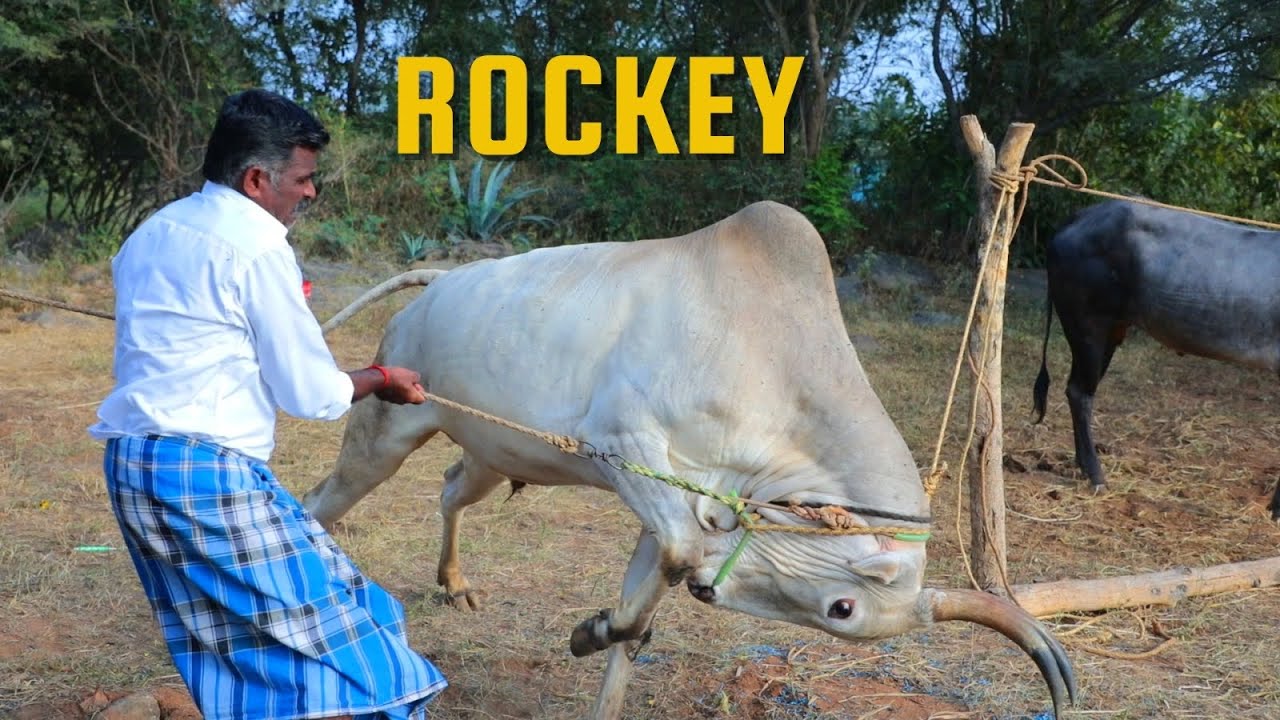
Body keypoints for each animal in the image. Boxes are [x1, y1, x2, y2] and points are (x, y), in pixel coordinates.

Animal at [305, 201, 1075, 718]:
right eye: (843, 607)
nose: (710, 590)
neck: (767, 363)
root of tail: (439, 284)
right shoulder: (624, 446)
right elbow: (673, 558)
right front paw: (594, 630)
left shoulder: (686, 507)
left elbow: (643, 610)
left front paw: (597, 632)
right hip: (385, 430)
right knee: (322, 500)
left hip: (491, 450)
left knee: (448, 491)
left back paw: (455, 582)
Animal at [1034, 199, 1280, 519]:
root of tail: (1081, 216)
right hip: (1088, 325)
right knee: (1080, 394)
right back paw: (1096, 476)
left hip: (1110, 332)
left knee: (1075, 390)